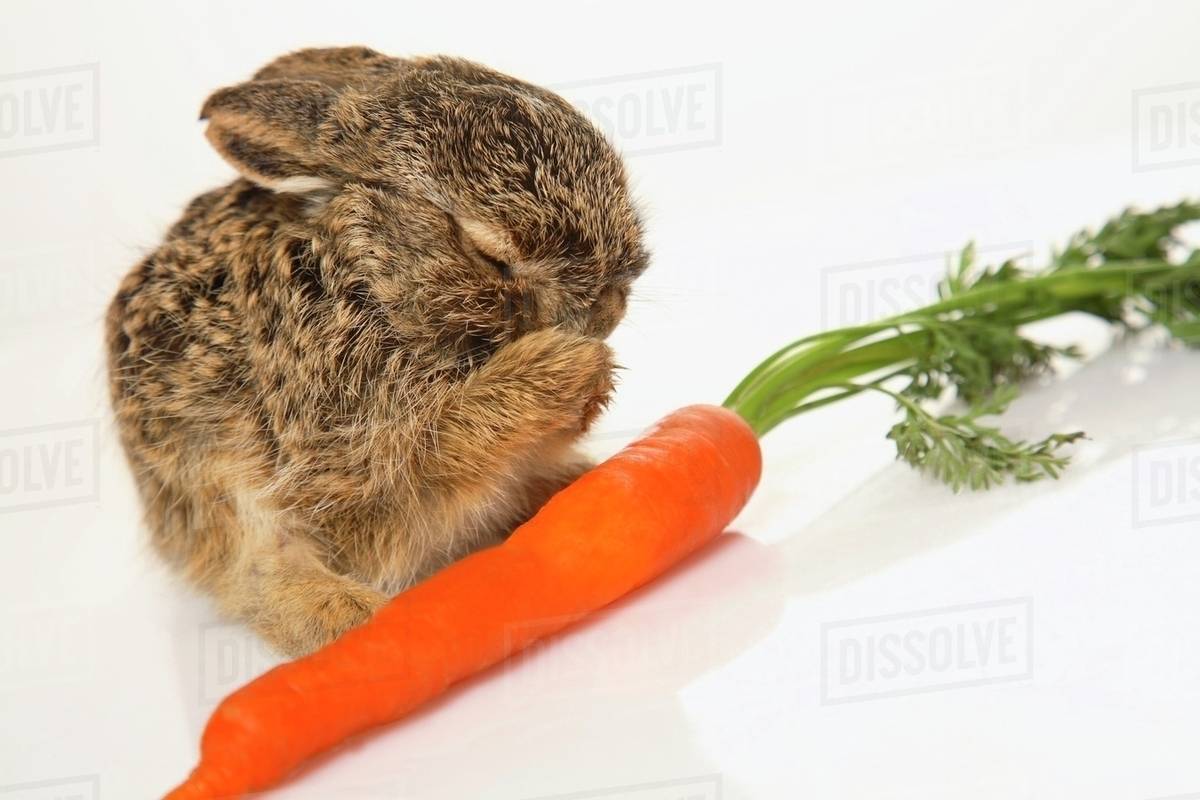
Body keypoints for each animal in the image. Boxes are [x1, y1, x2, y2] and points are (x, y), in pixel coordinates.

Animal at [106, 47, 648, 657]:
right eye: (489, 254)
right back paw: (357, 619)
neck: (371, 276)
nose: (607, 313)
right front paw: (568, 370)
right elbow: (440, 450)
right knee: (262, 577)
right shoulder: (343, 449)